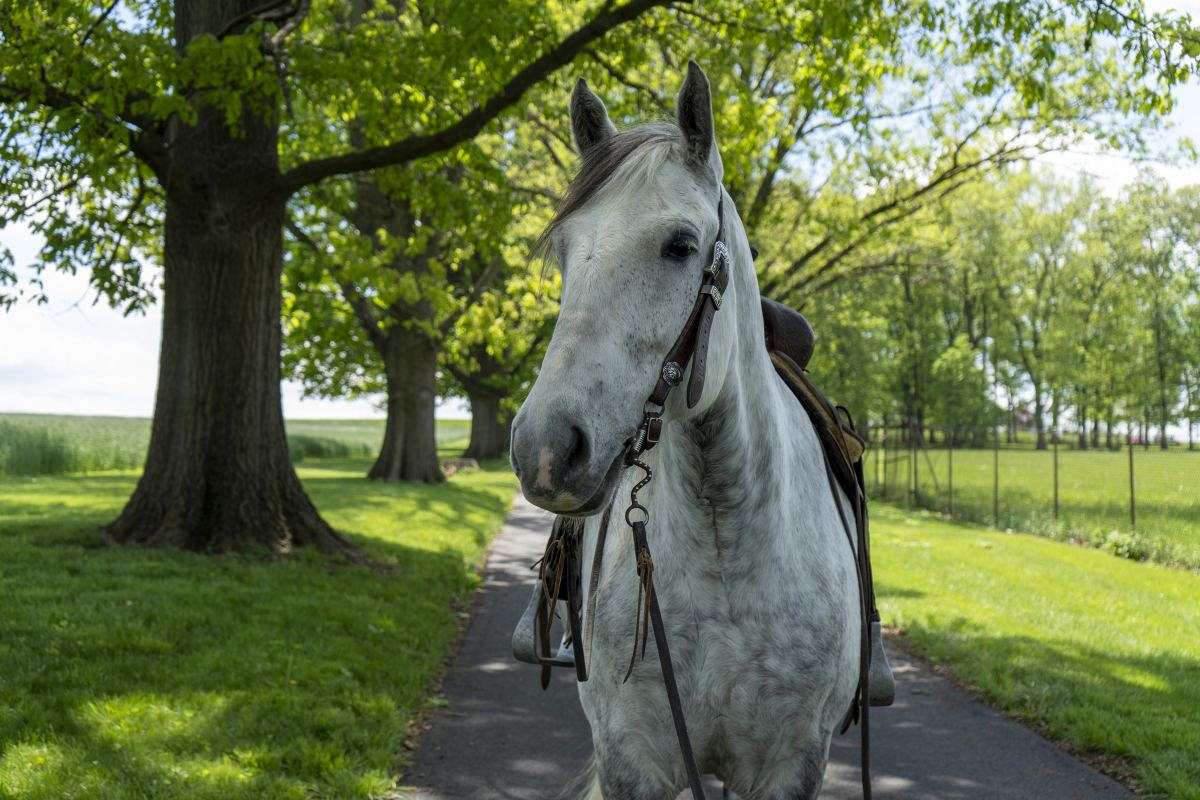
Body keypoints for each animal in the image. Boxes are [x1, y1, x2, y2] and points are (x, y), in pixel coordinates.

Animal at [509, 62, 862, 800]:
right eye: (564, 252)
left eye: (680, 246)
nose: (545, 449)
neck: (723, 537)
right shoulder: (633, 761)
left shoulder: (791, 766)